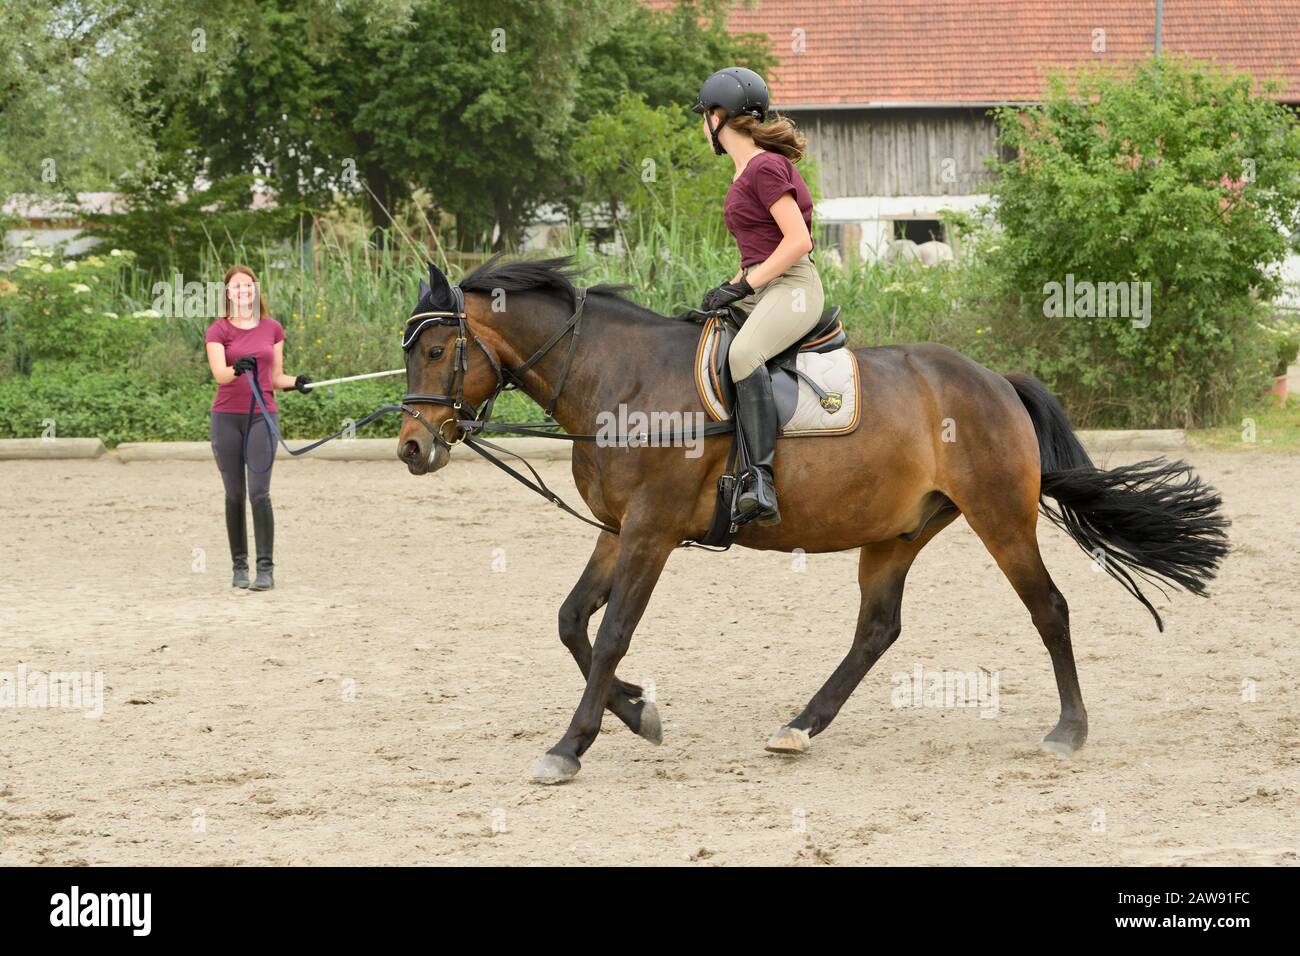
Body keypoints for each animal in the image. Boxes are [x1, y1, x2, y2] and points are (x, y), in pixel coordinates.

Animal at [396, 256, 1229, 784]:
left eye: (437, 350)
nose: (411, 447)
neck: (620, 380)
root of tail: (994, 380)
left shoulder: (651, 531)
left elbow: (609, 637)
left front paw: (571, 746)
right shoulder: (616, 529)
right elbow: (572, 621)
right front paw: (638, 713)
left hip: (998, 515)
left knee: (1048, 607)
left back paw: (1068, 731)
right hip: (897, 531)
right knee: (877, 629)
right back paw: (800, 726)